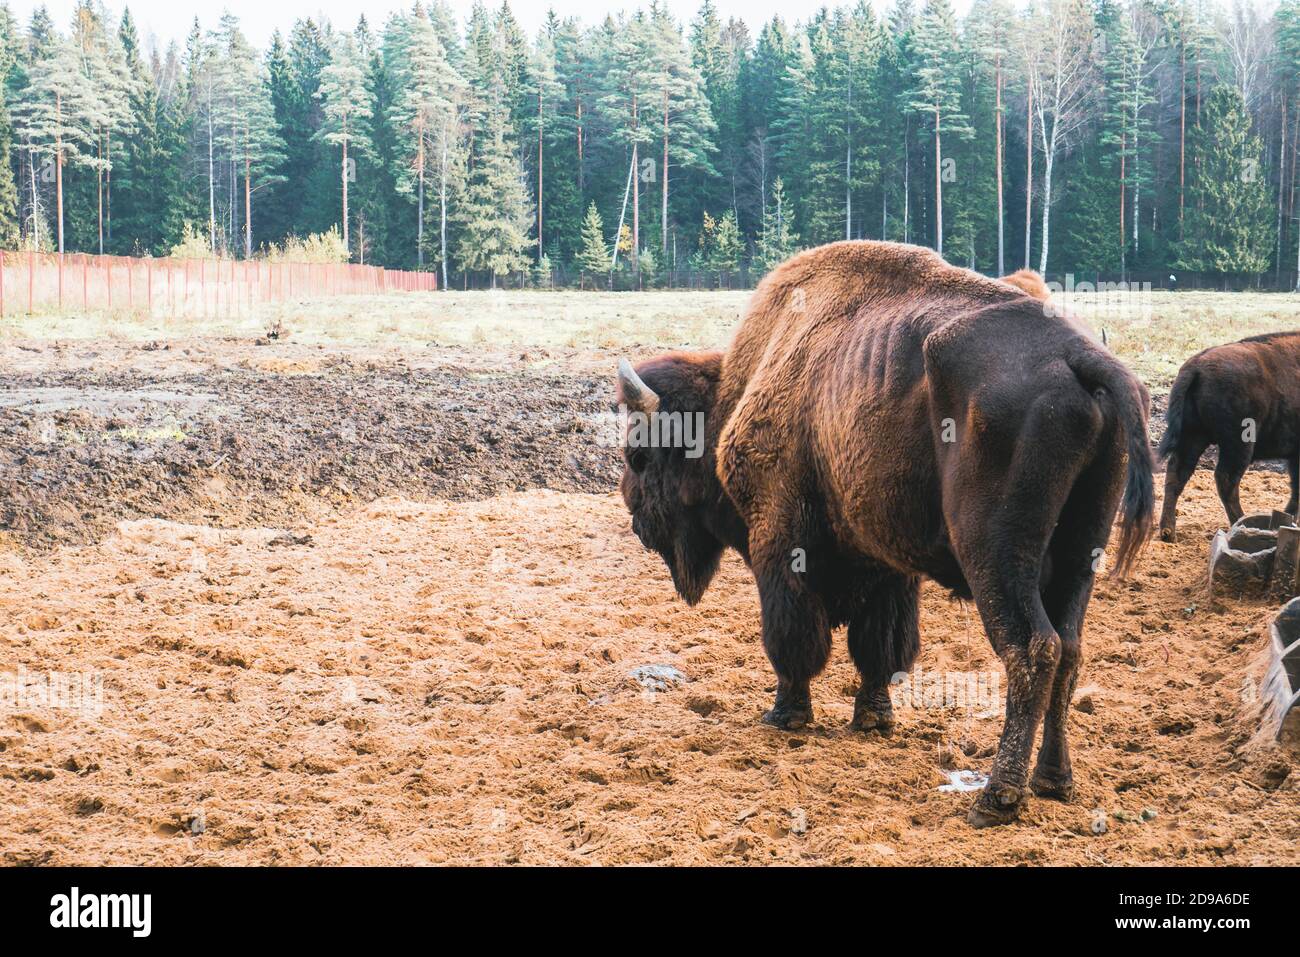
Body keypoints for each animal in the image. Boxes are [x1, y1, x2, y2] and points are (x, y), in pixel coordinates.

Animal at [616, 241, 1154, 827]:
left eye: (640, 456)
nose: (636, 518)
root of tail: (1077, 356)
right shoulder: (887, 565)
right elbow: (880, 645)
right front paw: (872, 718)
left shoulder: (779, 544)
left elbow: (794, 639)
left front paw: (785, 714)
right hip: (1082, 552)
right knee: (1071, 649)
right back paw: (1054, 781)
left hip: (996, 554)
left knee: (1034, 648)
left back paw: (997, 797)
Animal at [1158, 331, 1300, 542]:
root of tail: (1196, 367)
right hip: (1238, 445)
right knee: (1226, 479)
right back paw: (1240, 522)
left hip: (1193, 437)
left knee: (1178, 473)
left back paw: (1168, 533)